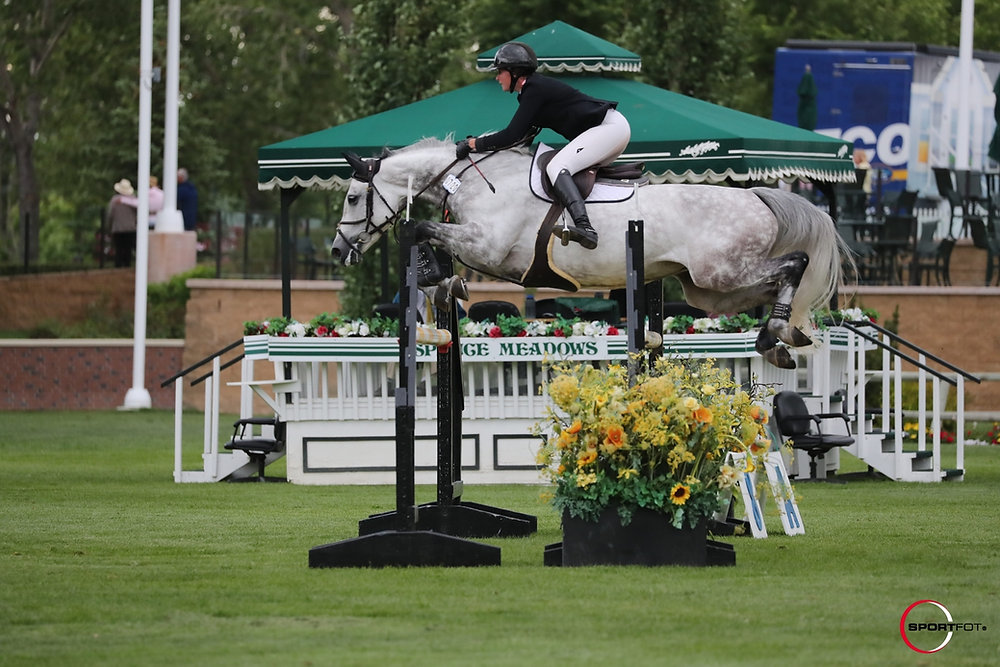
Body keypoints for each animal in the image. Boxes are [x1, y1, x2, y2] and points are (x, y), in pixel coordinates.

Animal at [332, 137, 853, 369]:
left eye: (354, 197)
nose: (338, 250)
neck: (475, 180)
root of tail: (758, 197)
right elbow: (436, 249)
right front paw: (444, 284)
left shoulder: (490, 248)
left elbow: (422, 230)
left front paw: (442, 279)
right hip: (709, 289)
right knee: (770, 285)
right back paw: (778, 337)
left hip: (722, 272)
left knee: (795, 264)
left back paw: (781, 330)